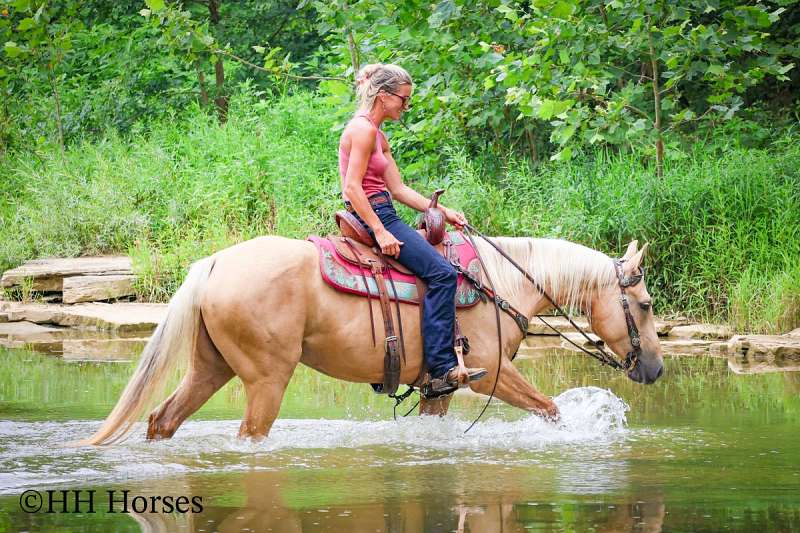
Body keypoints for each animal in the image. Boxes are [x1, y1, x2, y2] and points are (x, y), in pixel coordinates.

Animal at [81, 236, 663, 445]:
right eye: (646, 304)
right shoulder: (493, 375)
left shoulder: (440, 386)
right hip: (266, 379)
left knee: (163, 419)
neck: (499, 284)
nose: (655, 370)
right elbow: (551, 409)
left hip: (210, 367)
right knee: (248, 435)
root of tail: (216, 262)